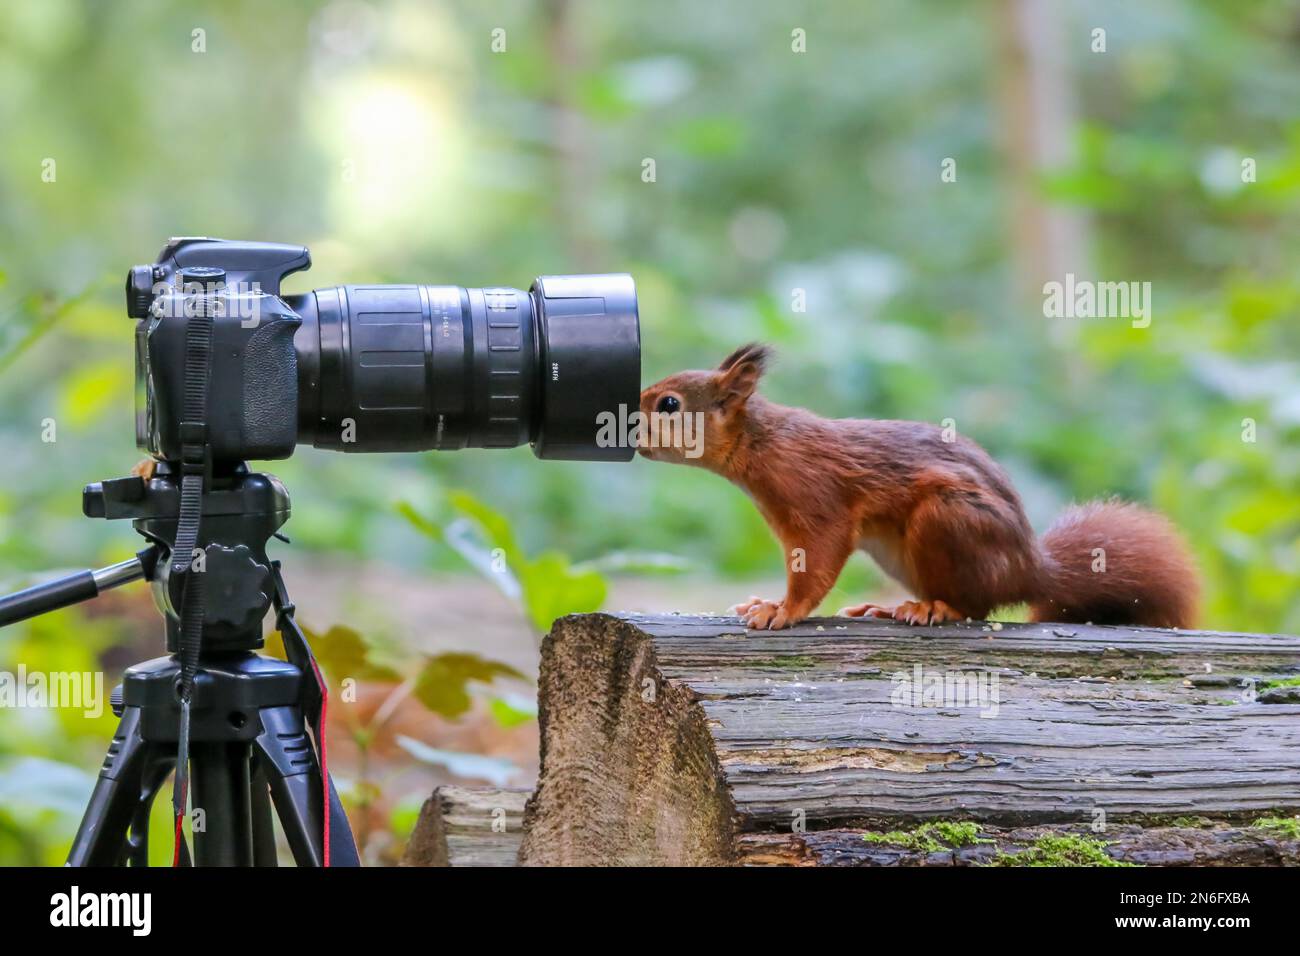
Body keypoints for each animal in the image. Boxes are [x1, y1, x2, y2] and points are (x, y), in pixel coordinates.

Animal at [637, 343, 1199, 631]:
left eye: (669, 404)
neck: (762, 444)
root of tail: (1031, 569)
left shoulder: (817, 499)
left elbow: (817, 561)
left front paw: (781, 610)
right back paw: (892, 606)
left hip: (948, 519)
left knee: (977, 606)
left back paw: (937, 608)